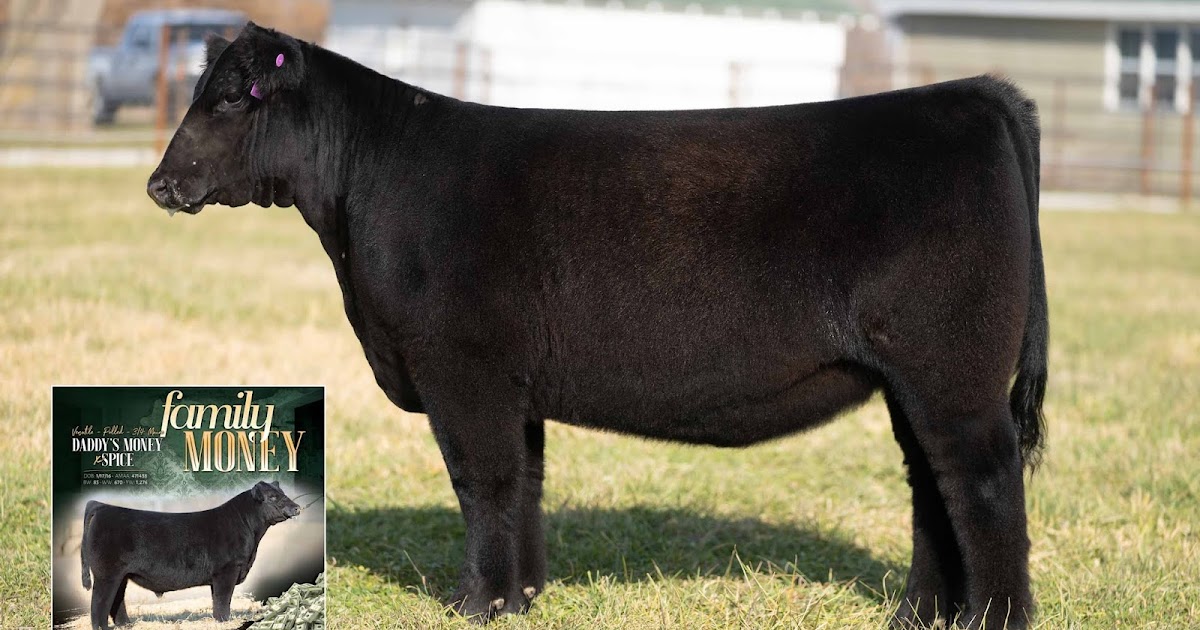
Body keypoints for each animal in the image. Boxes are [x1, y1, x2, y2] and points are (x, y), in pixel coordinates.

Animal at [80, 481, 300, 629]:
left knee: (117, 601)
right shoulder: (227, 570)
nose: (296, 507)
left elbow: (217, 600)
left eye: (283, 493)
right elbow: (223, 599)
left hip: (121, 576)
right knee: (99, 603)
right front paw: (224, 621)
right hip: (106, 575)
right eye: (272, 497)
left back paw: (127, 624)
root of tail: (103, 506)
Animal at [147, 23, 1048, 629]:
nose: (159, 184)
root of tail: (972, 93)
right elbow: (525, 484)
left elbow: (483, 482)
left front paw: (475, 603)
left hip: (954, 377)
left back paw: (993, 618)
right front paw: (521, 596)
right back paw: (923, 614)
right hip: (913, 383)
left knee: (983, 485)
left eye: (230, 98)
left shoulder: (462, 370)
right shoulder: (514, 385)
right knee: (931, 487)